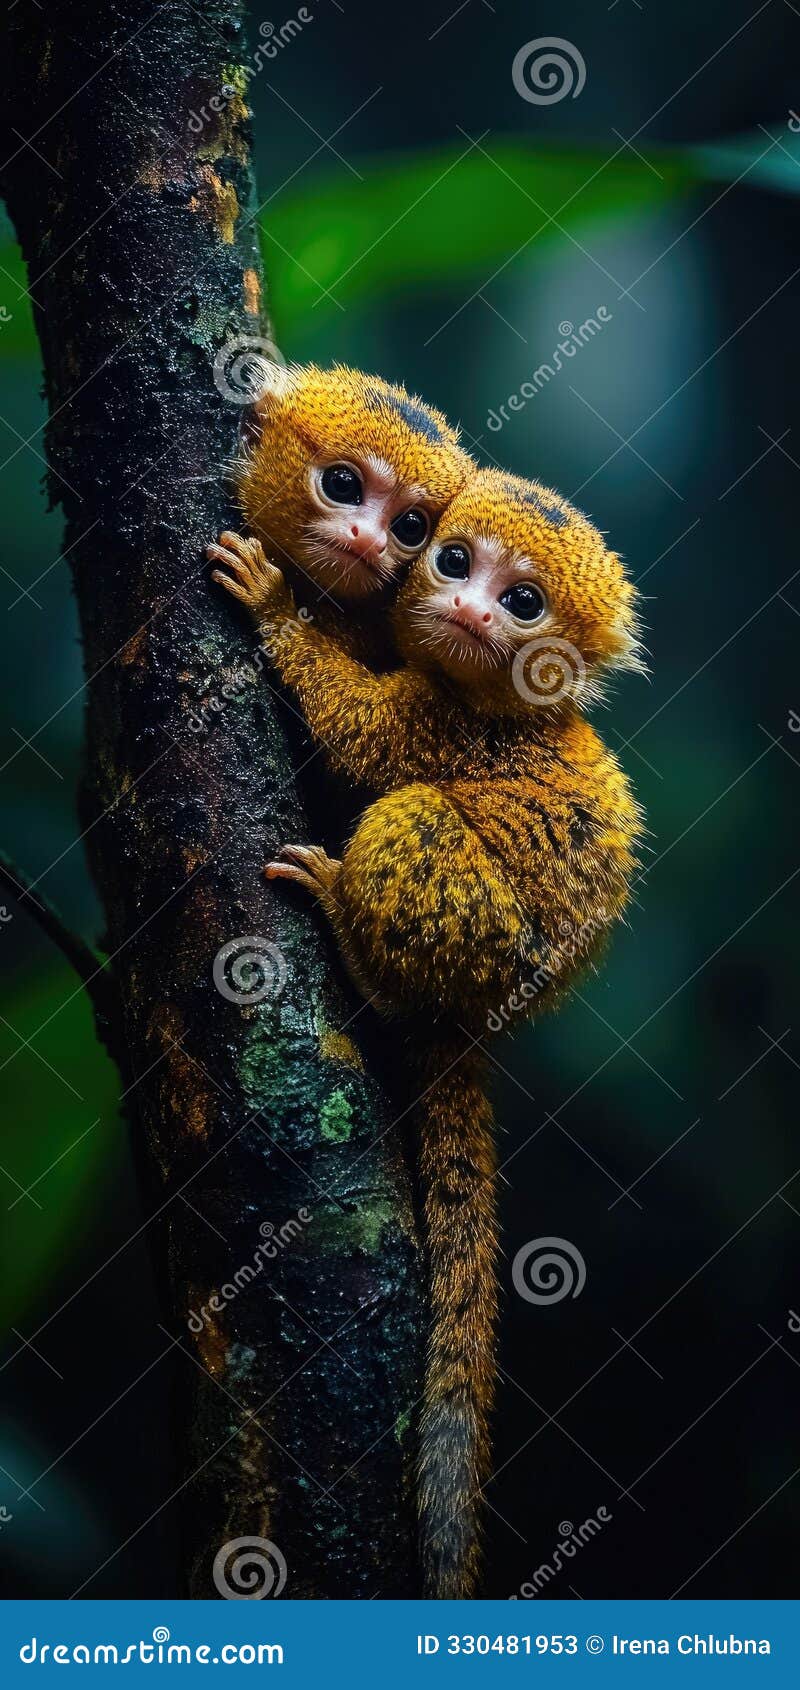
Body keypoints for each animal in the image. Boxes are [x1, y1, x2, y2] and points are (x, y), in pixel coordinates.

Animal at [210, 466, 644, 1600]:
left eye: (523, 603)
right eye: (450, 559)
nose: (470, 611)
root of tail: (471, 1016)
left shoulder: (449, 726)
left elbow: (369, 734)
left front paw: (275, 605)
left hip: (476, 942)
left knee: (414, 813)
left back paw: (357, 949)